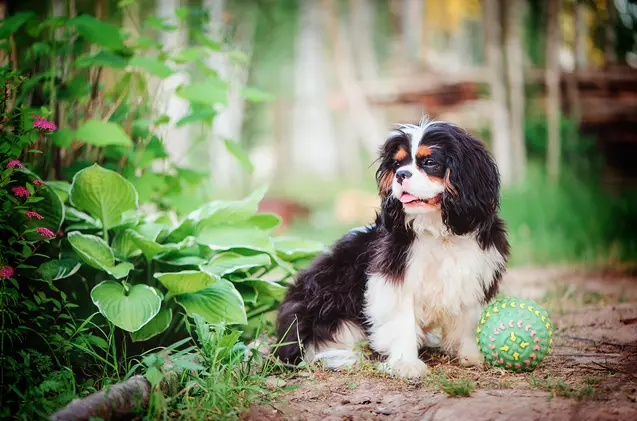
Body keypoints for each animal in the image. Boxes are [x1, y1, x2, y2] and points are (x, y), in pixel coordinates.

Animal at [276, 119, 510, 378]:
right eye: (397, 164)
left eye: (430, 162)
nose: (400, 174)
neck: (437, 229)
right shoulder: (393, 280)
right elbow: (402, 321)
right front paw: (406, 363)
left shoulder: (473, 273)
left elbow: (467, 320)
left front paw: (471, 355)